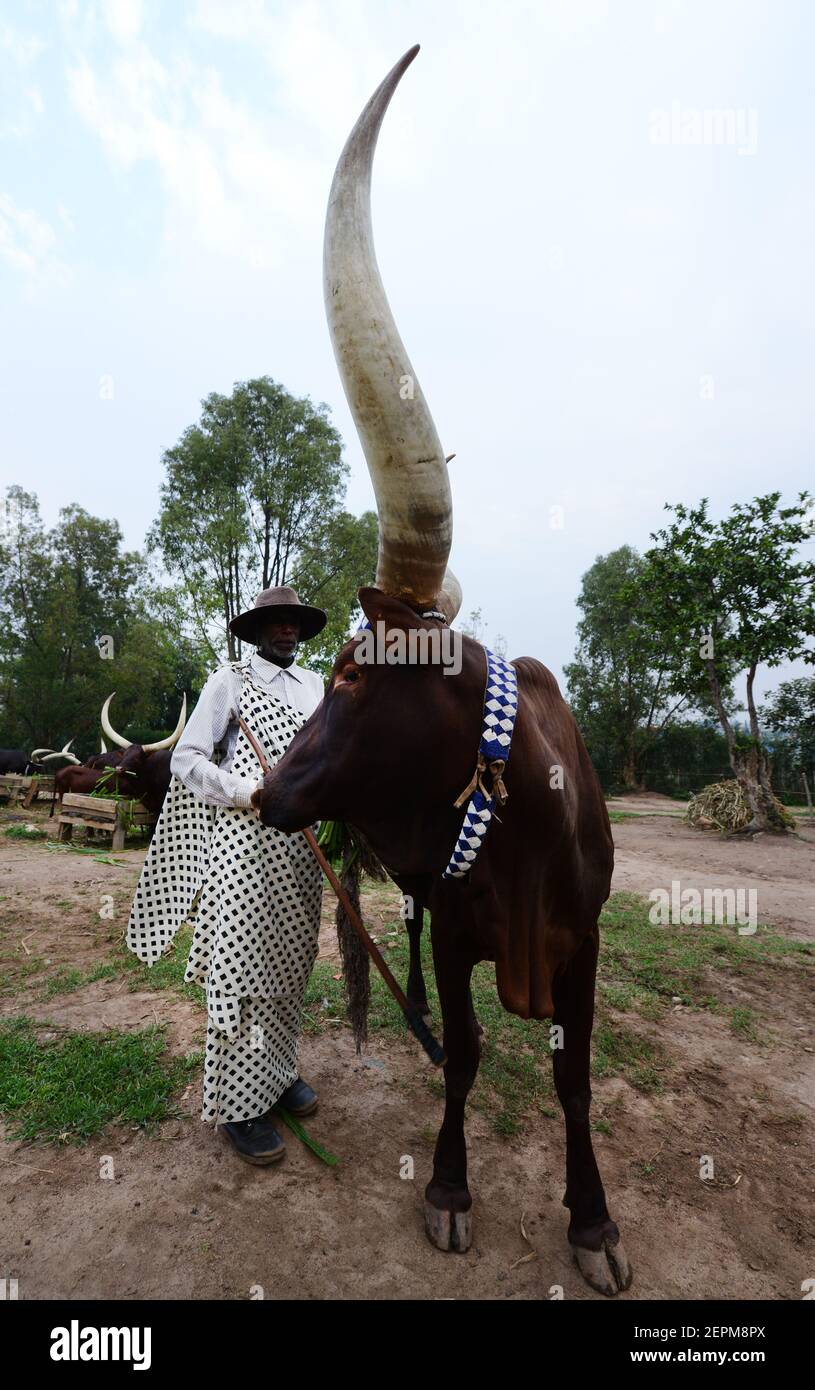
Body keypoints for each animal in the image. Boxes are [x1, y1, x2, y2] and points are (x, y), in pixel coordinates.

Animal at [254, 47, 631, 1297]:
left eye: (351, 678)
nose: (266, 789)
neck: (513, 827)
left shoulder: (585, 945)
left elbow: (570, 1075)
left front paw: (591, 1220)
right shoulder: (459, 939)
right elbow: (462, 1053)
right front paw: (450, 1189)